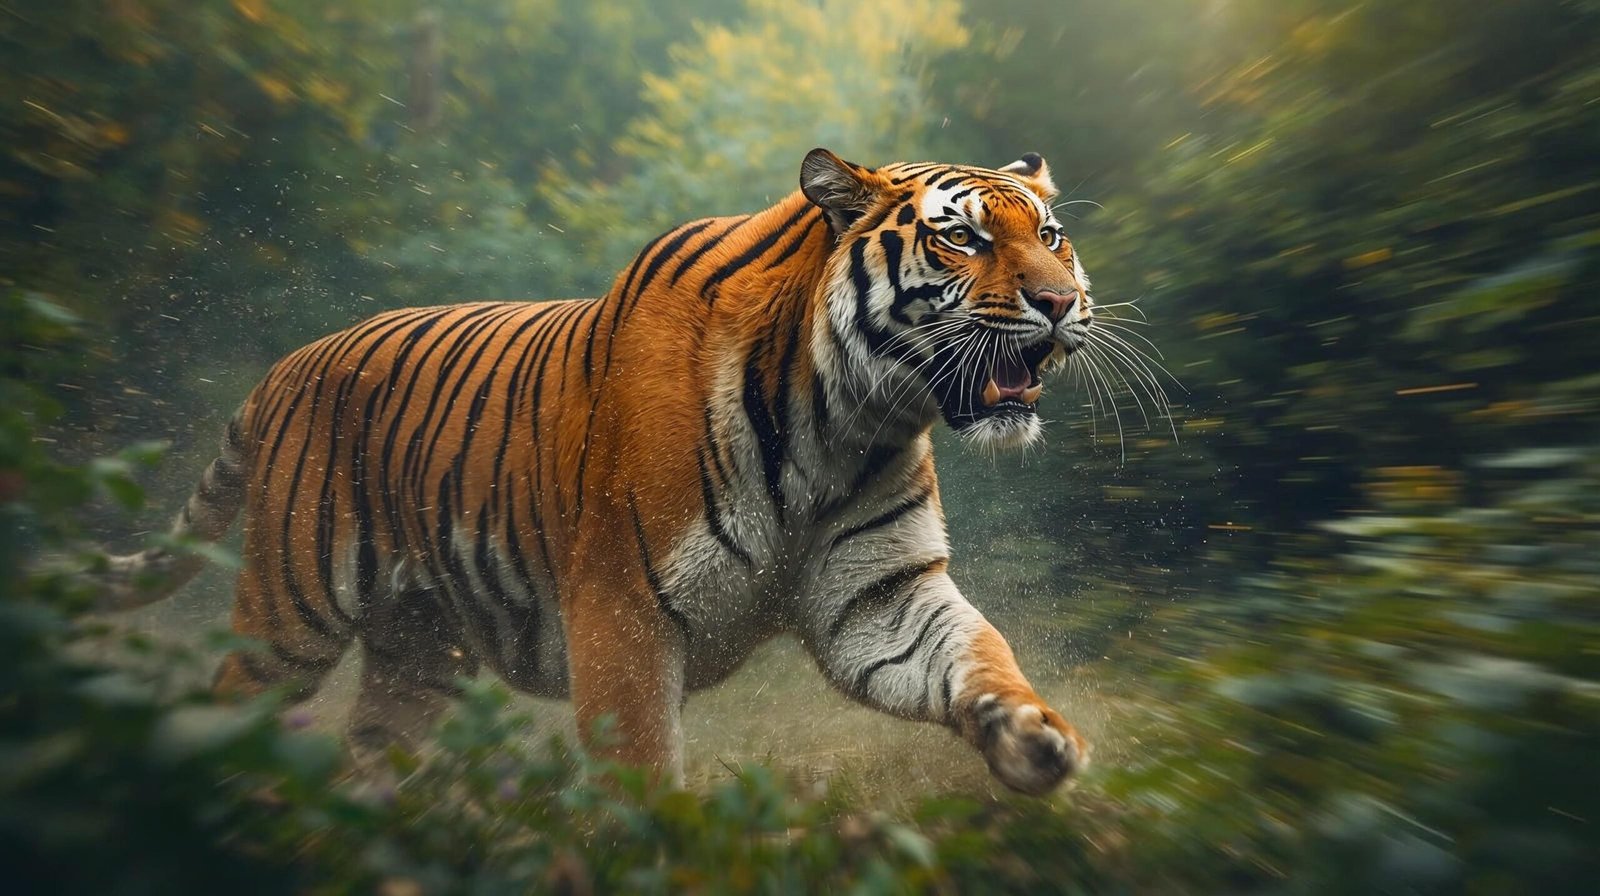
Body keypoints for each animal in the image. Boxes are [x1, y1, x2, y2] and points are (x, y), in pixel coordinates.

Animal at [100, 149, 1095, 795]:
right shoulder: (623, 610)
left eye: (1050, 234)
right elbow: (640, 773)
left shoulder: (879, 596)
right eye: (963, 240)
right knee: (230, 706)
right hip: (290, 613)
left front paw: (1038, 741)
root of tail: (287, 364)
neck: (848, 419)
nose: (1060, 302)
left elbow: (977, 655)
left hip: (419, 651)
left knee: (368, 755)